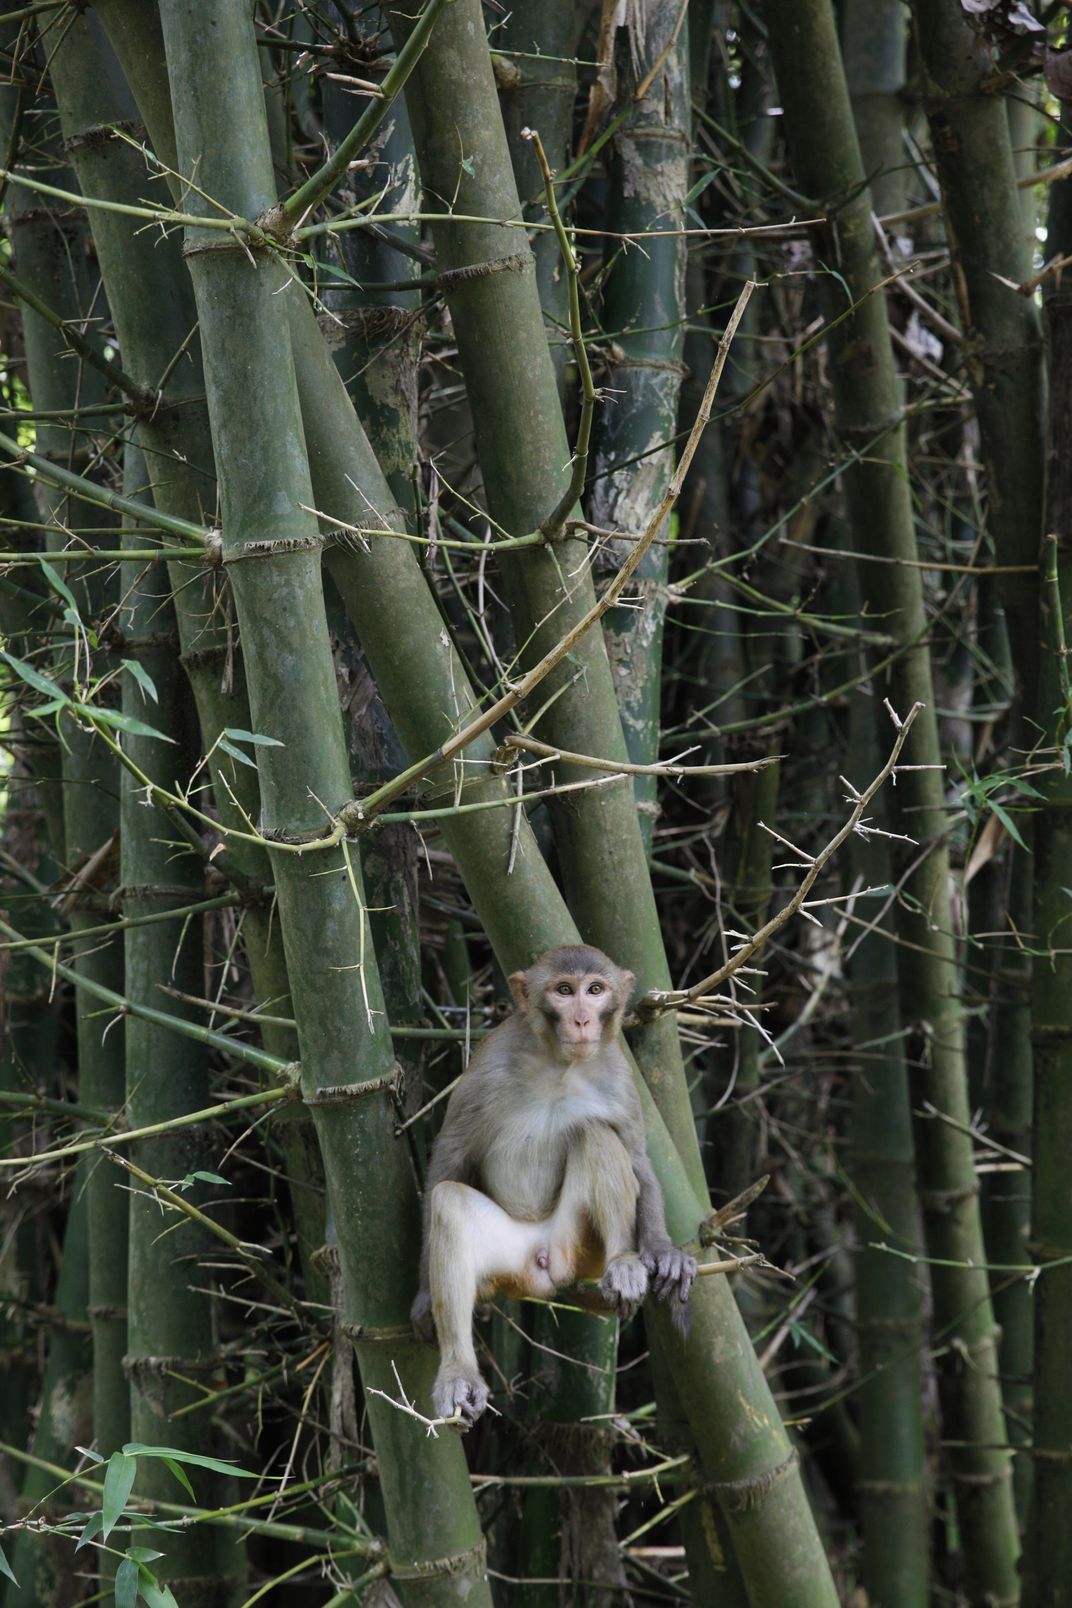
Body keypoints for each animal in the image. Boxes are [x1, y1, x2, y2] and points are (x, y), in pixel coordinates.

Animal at [411, 945, 697, 1426]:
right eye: (564, 990)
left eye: (595, 990)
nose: (581, 1019)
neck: (560, 1066)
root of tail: (542, 1269)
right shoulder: (488, 1065)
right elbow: (450, 1161)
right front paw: (424, 1296)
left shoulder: (620, 1076)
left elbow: (638, 1158)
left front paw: (662, 1250)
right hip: (508, 1257)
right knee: (449, 1203)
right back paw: (458, 1374)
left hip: (579, 1249)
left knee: (595, 1134)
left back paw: (623, 1263)